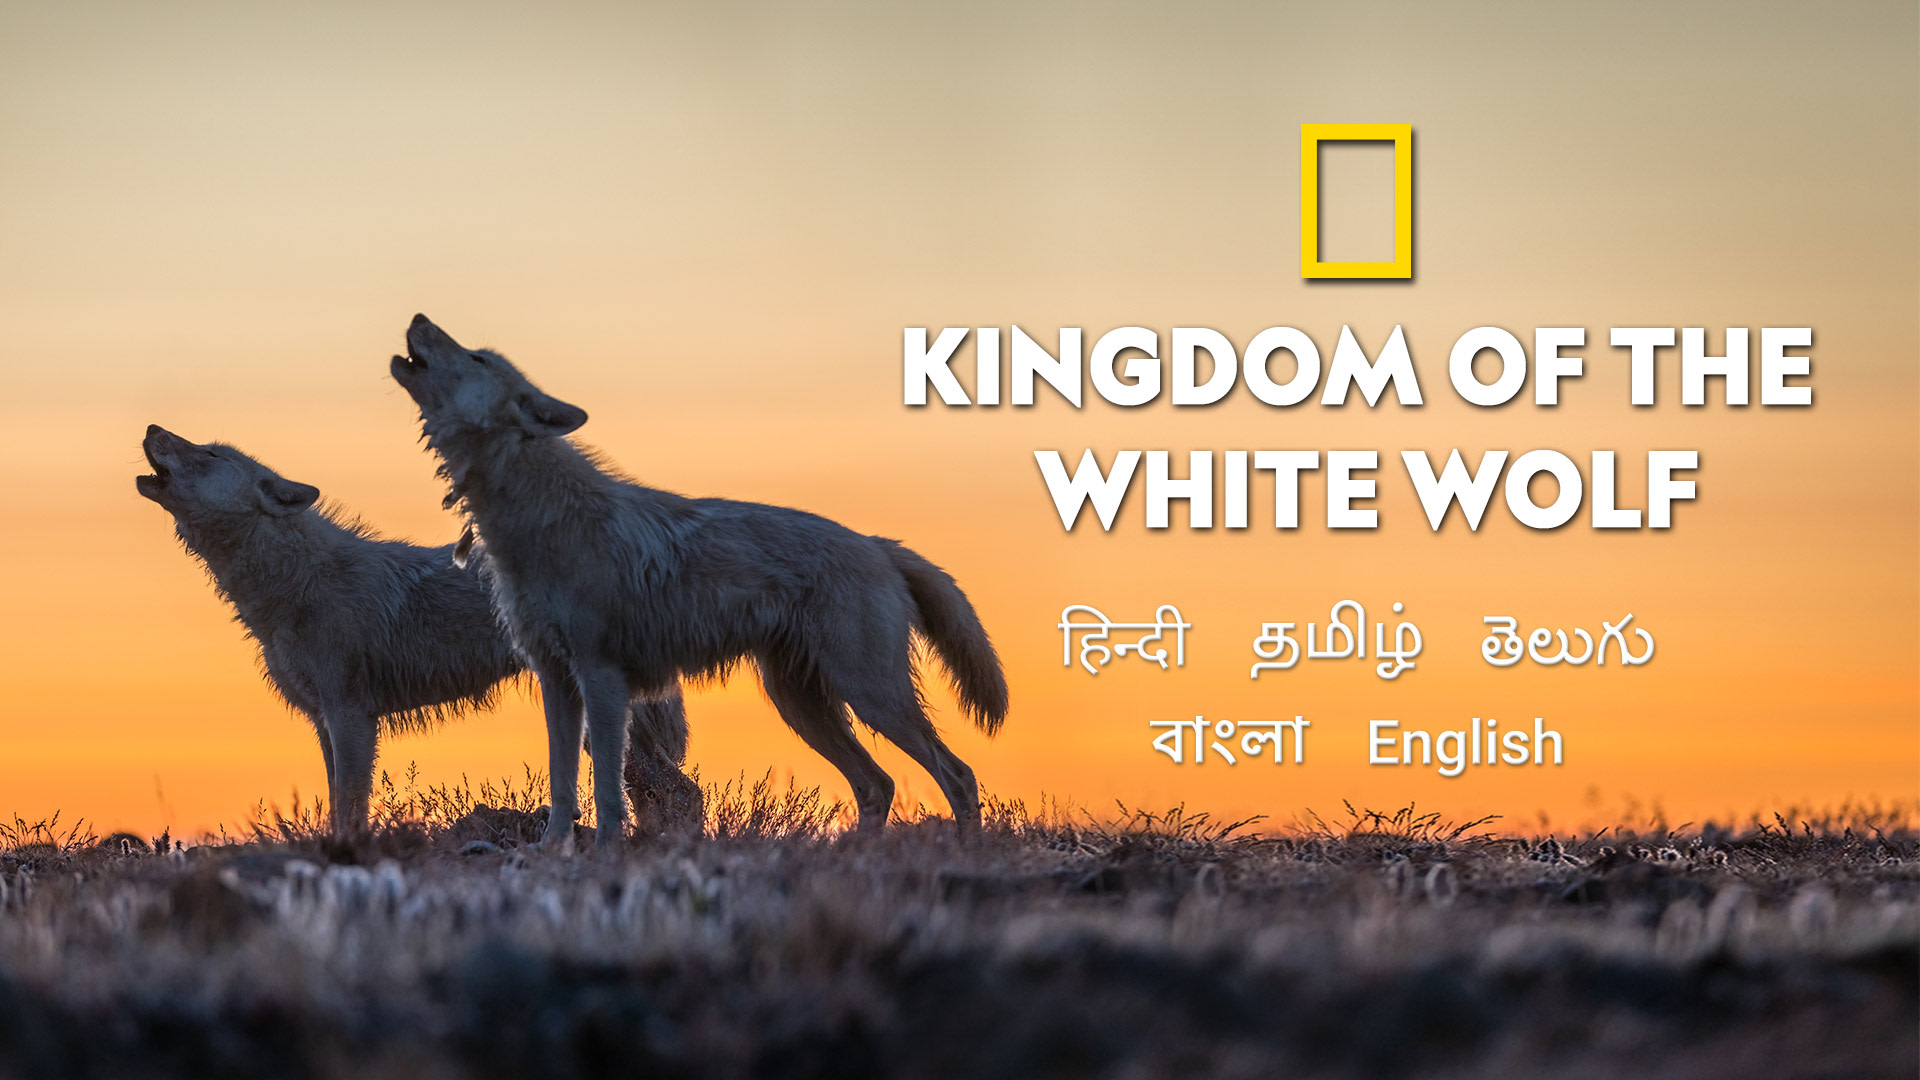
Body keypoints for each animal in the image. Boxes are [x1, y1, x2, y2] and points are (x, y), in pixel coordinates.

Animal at [136, 425, 701, 837]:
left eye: (208, 453)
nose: (151, 427)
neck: (296, 585)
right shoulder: (324, 722)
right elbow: (337, 802)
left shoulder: (352, 718)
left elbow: (350, 809)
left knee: (680, 794)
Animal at [390, 315, 1008, 851]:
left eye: (477, 357)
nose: (418, 317)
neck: (539, 518)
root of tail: (879, 544)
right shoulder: (557, 681)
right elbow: (563, 788)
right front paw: (547, 856)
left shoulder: (602, 678)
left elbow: (607, 792)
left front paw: (605, 856)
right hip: (802, 705)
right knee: (877, 784)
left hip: (871, 695)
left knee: (958, 774)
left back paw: (967, 856)